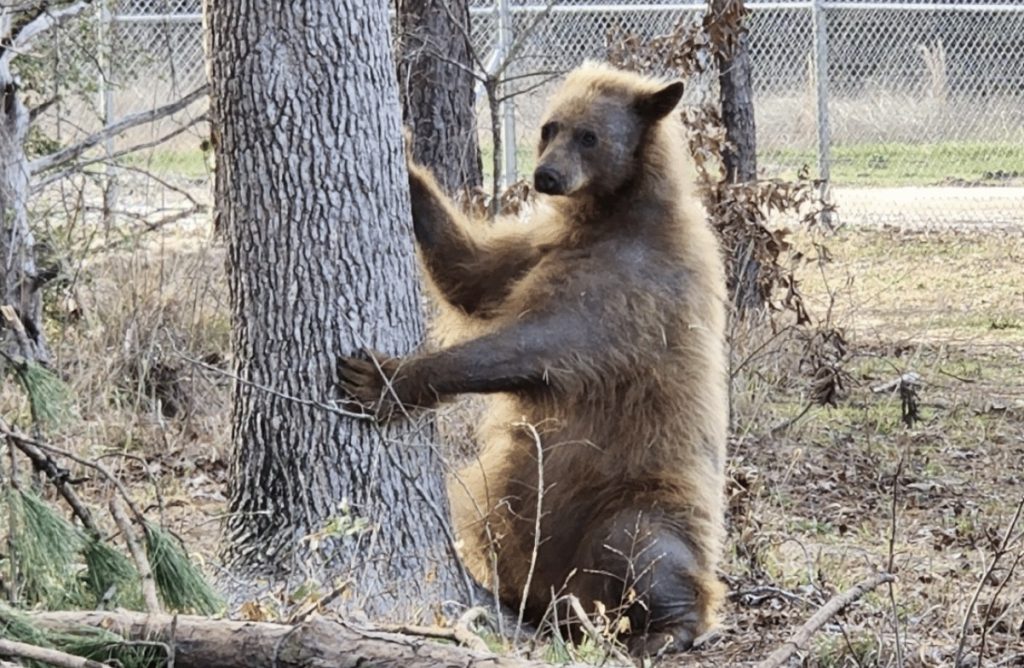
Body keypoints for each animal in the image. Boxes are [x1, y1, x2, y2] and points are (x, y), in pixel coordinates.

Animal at [338, 61, 729, 655]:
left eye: (589, 136)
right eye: (550, 127)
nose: (546, 176)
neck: (611, 212)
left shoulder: (632, 285)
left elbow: (537, 343)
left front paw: (384, 377)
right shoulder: (541, 247)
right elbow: (472, 273)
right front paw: (404, 158)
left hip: (642, 493)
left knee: (643, 542)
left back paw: (665, 630)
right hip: (510, 497)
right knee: (489, 520)